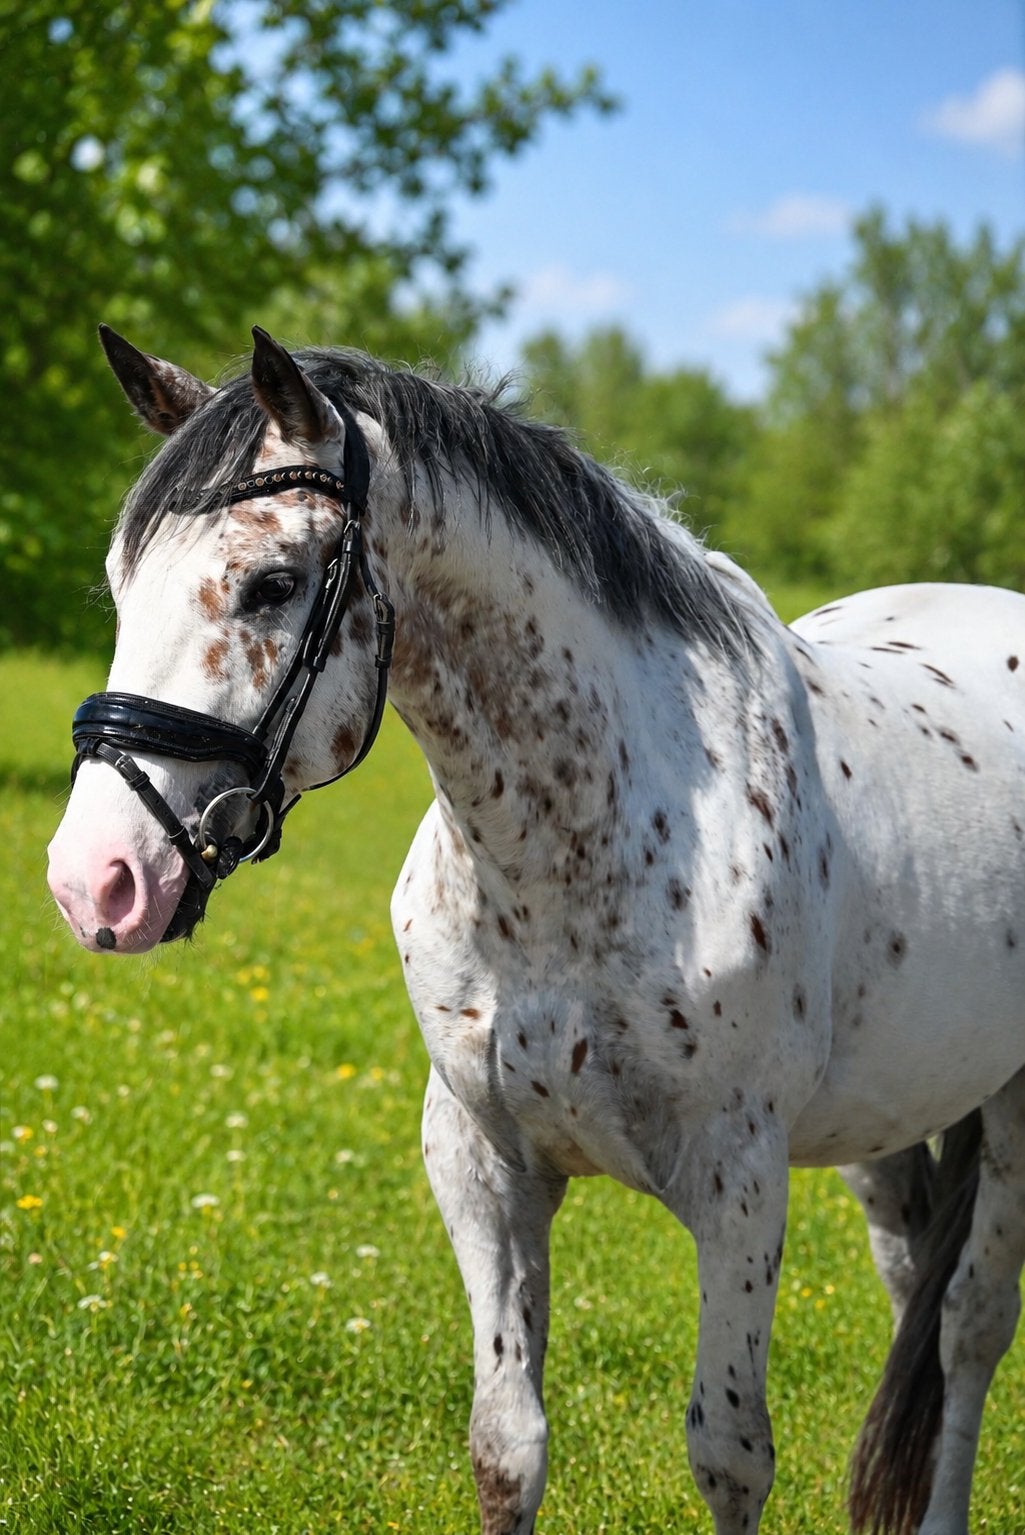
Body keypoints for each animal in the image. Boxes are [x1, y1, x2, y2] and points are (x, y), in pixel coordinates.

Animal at [47, 326, 1025, 1535]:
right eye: (118, 584)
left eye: (272, 584)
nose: (95, 881)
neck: (579, 843)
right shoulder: (482, 1166)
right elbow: (506, 1447)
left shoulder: (739, 1184)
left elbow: (730, 1453)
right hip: (886, 1128)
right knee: (914, 1296)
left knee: (969, 1320)